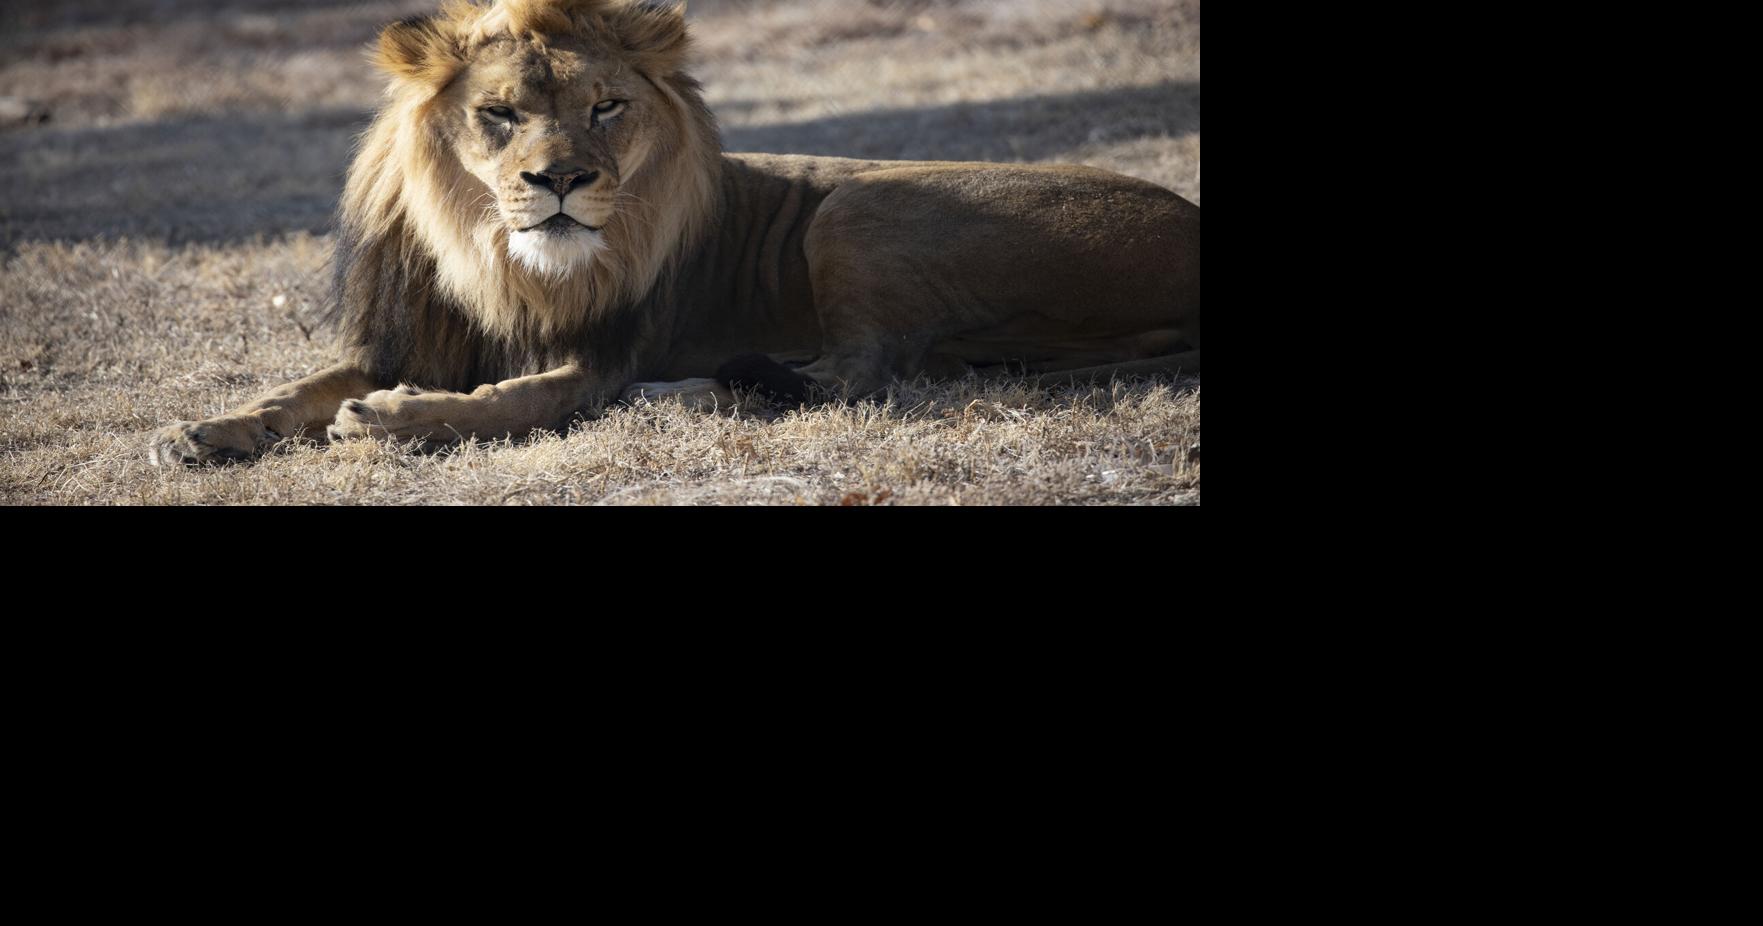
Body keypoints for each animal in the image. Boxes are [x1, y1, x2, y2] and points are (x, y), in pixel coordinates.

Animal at [147, 0, 1199, 465]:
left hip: (860, 207)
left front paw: (395, 420)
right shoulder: (407, 334)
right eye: (499, 115)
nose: (559, 179)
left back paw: (683, 396)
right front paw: (206, 427)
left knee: (859, 375)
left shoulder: (600, 354)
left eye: (606, 108)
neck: (490, 256)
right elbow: (302, 385)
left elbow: (511, 401)